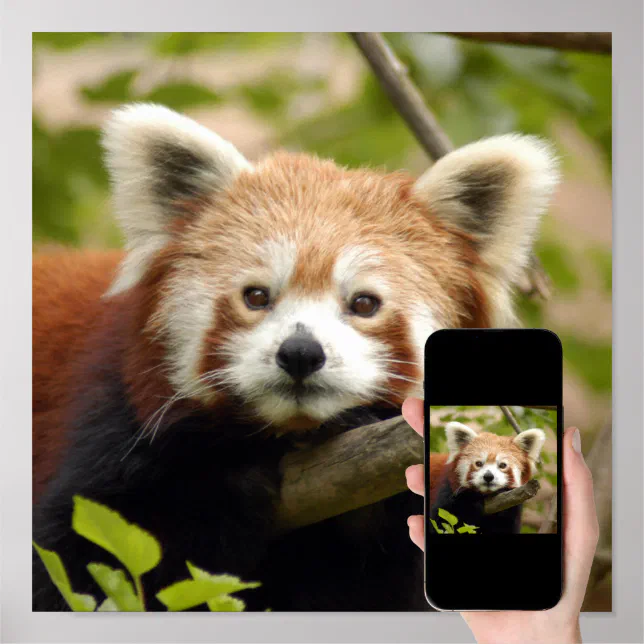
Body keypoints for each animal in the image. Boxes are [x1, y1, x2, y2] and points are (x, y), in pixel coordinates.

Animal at [32, 103, 559, 611]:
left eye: (364, 303)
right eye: (256, 296)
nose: (301, 353)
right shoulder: (113, 420)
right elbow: (82, 561)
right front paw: (232, 481)